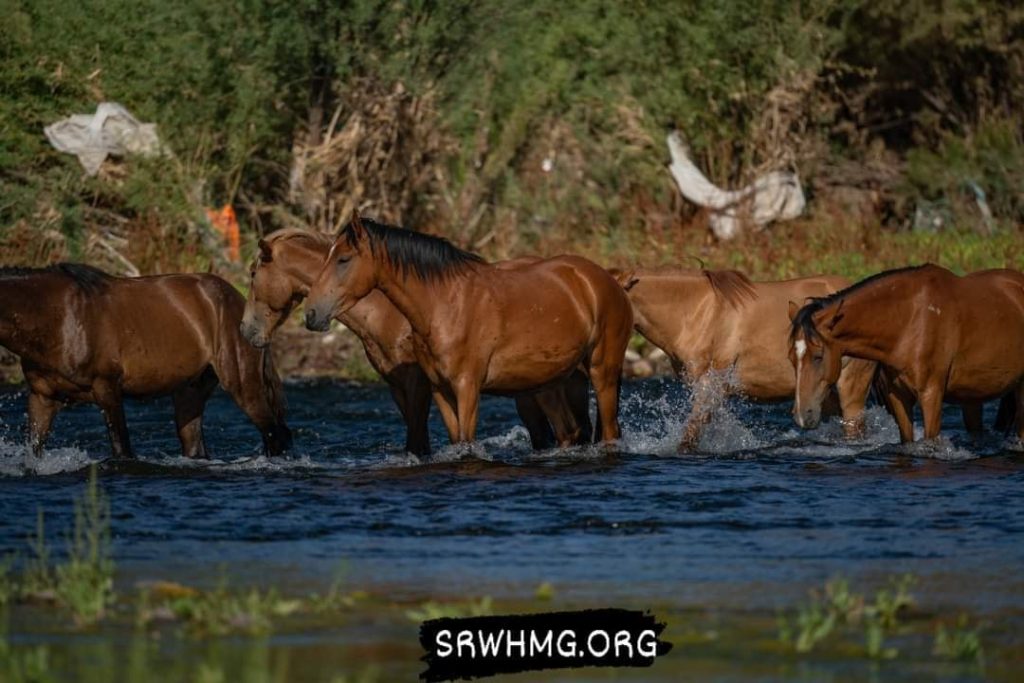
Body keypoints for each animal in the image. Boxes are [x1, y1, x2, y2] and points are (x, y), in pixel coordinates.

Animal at [0, 264, 291, 459]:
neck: (59, 318)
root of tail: (238, 300)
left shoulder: (107, 389)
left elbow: (122, 450)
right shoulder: (42, 397)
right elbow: (33, 453)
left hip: (244, 385)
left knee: (274, 435)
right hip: (190, 392)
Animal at [240, 229, 592, 454]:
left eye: (254, 274)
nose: (246, 330)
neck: (384, 309)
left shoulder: (418, 384)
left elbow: (418, 439)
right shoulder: (399, 387)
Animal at [304, 214, 632, 445]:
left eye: (344, 259)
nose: (311, 313)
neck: (444, 304)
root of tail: (608, 282)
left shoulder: (467, 388)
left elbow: (467, 442)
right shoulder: (440, 389)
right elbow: (455, 441)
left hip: (602, 372)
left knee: (608, 432)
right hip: (552, 380)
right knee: (569, 432)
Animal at [789, 264, 1024, 442]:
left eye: (818, 357)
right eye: (792, 358)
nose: (802, 415)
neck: (909, 322)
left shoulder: (931, 395)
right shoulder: (898, 396)